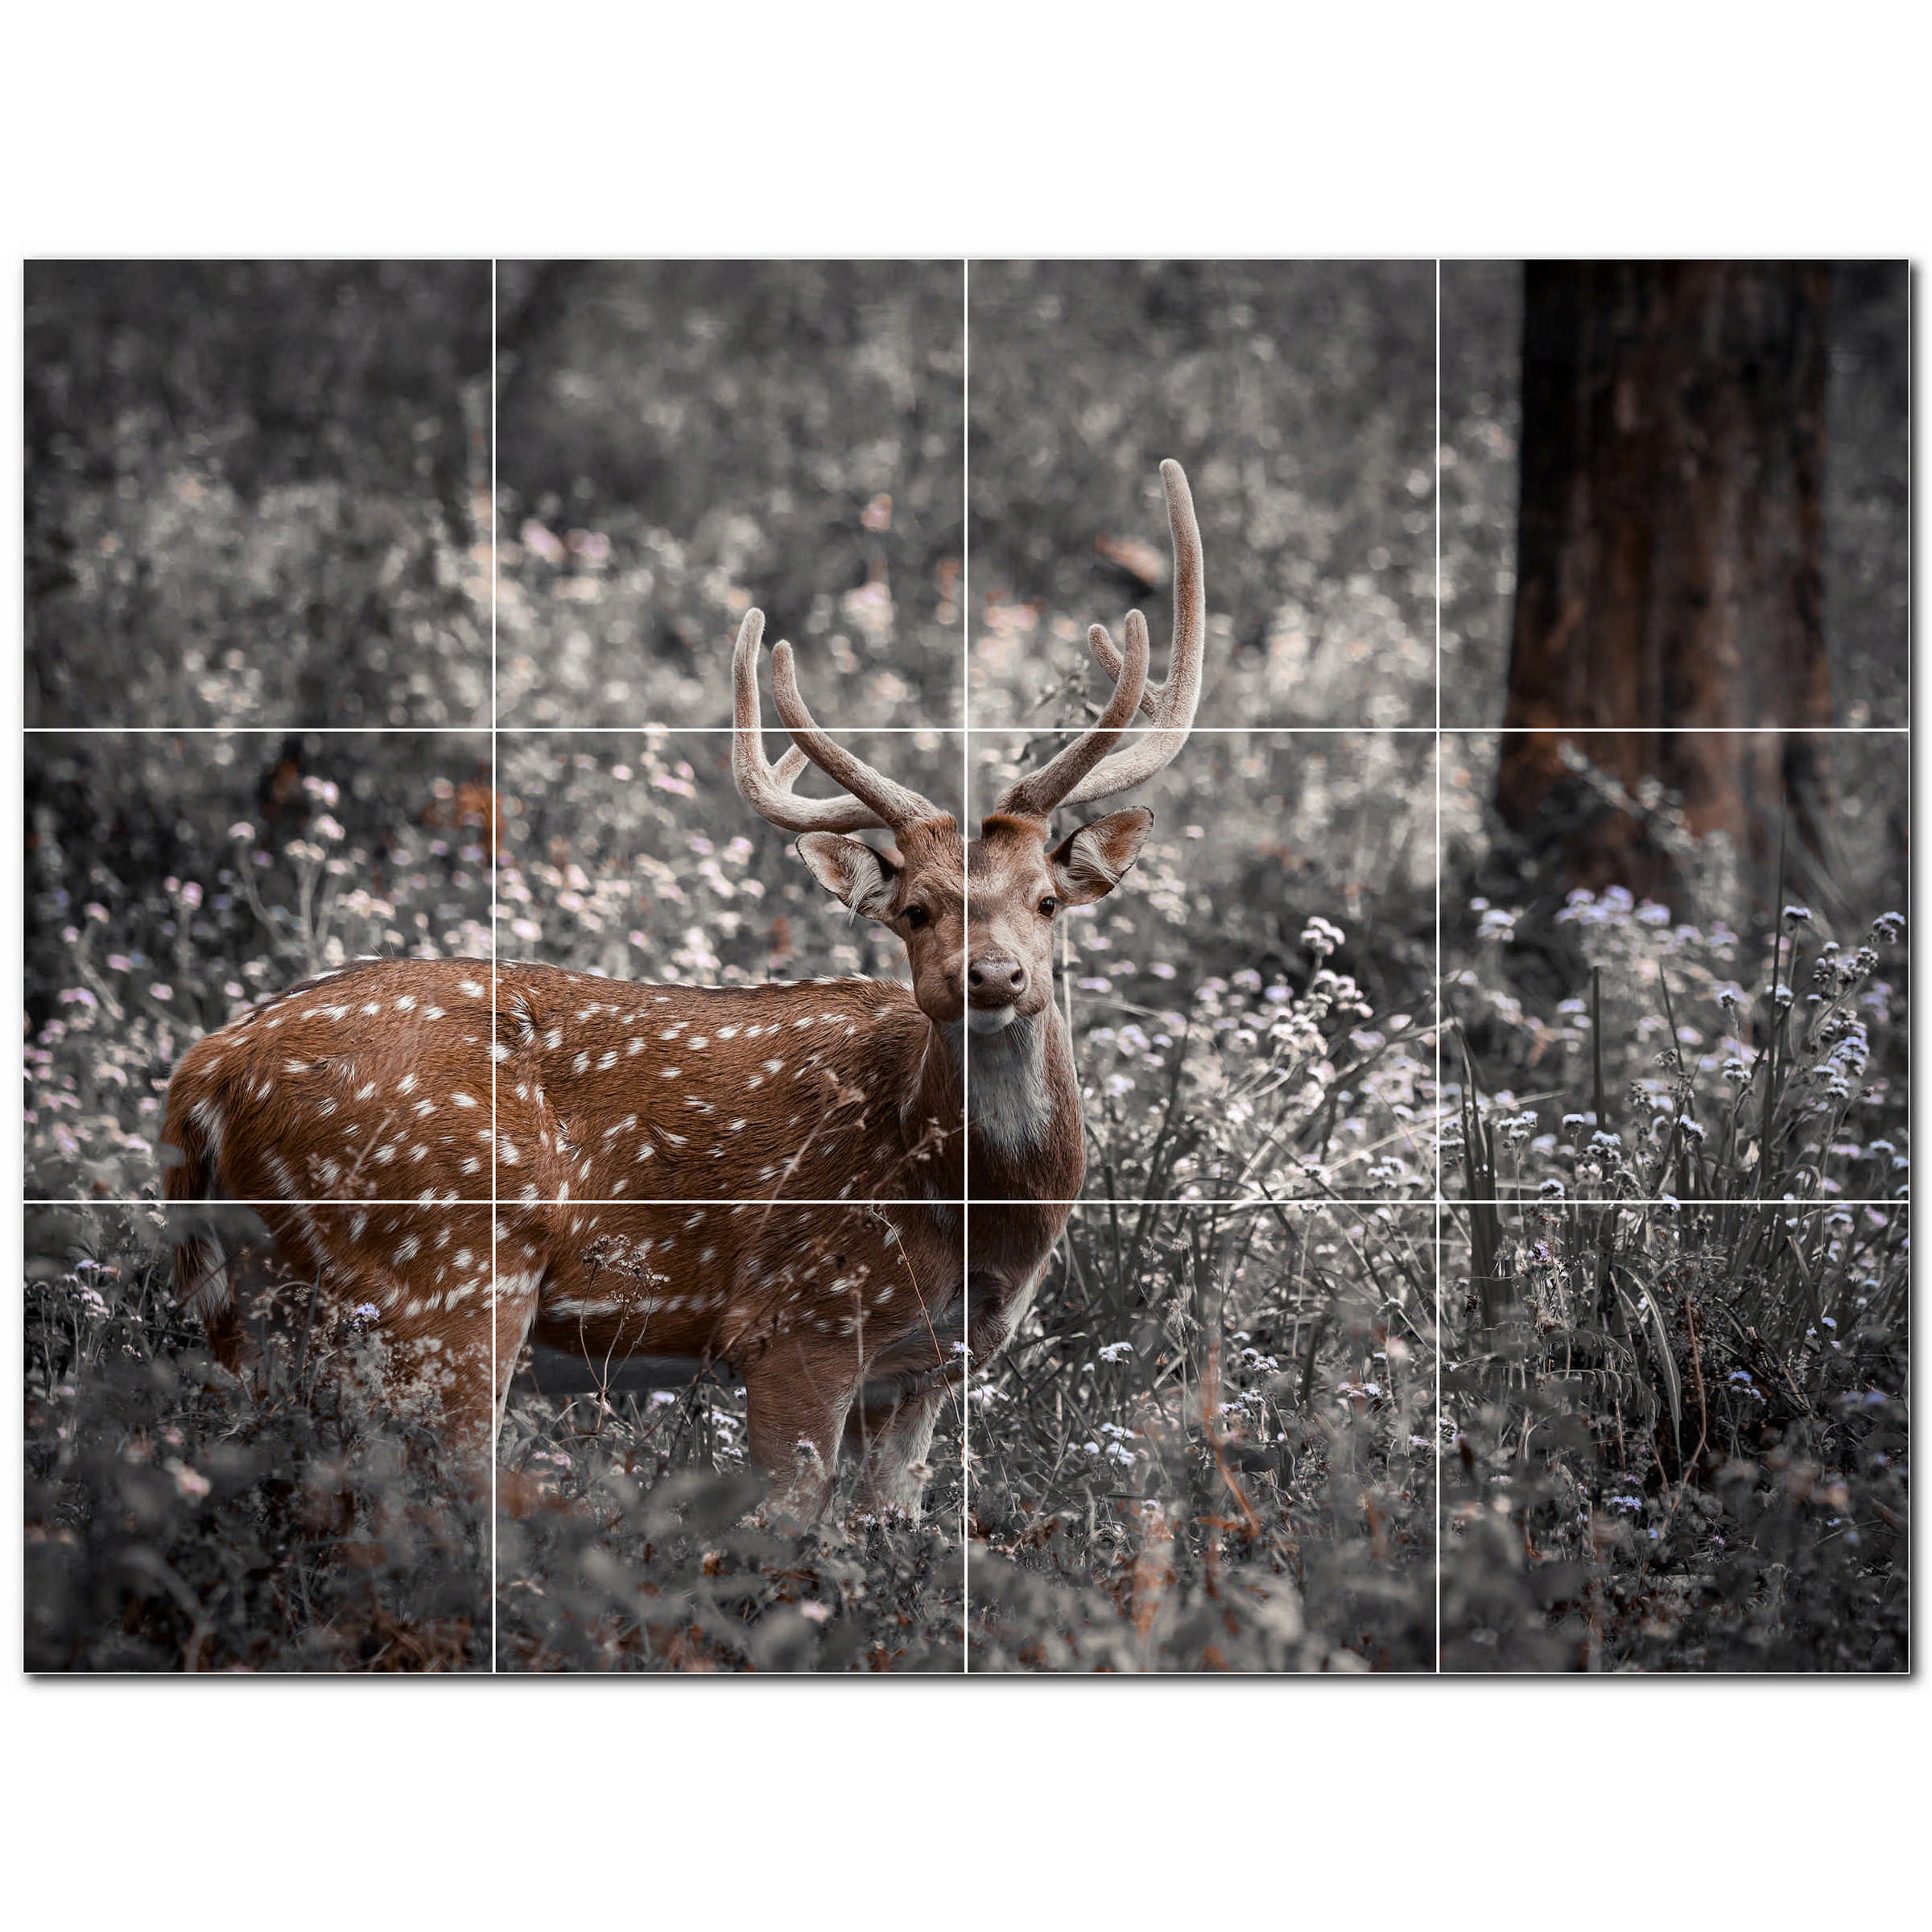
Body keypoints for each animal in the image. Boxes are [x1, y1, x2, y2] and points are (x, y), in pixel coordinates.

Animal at [161, 459, 1205, 1522]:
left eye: (1047, 900)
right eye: (914, 910)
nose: (991, 973)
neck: (971, 1220)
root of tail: (208, 1070)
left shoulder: (925, 1371)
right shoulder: (801, 1322)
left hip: (267, 1299)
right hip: (444, 1276)